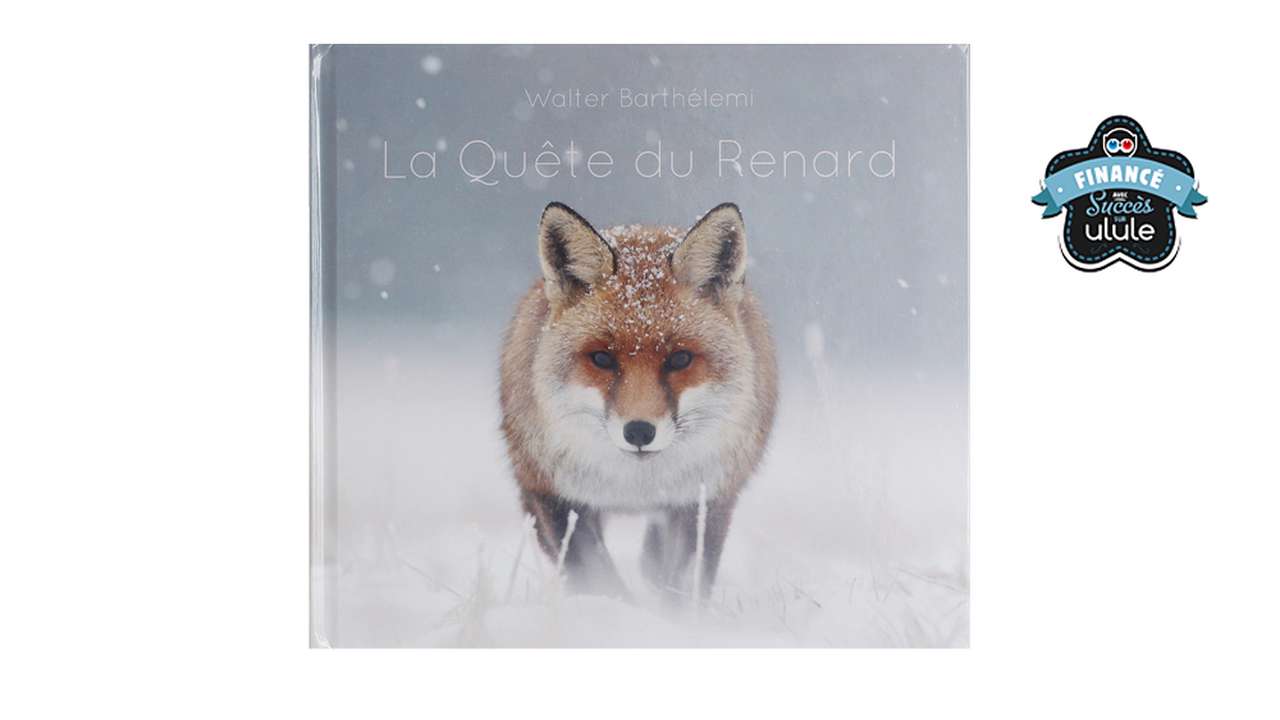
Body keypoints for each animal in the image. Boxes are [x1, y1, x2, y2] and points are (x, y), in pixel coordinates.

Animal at [499, 201, 778, 600]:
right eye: (602, 358)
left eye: (679, 359)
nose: (640, 432)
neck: (635, 488)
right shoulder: (550, 492)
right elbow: (595, 576)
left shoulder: (706, 497)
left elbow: (685, 583)